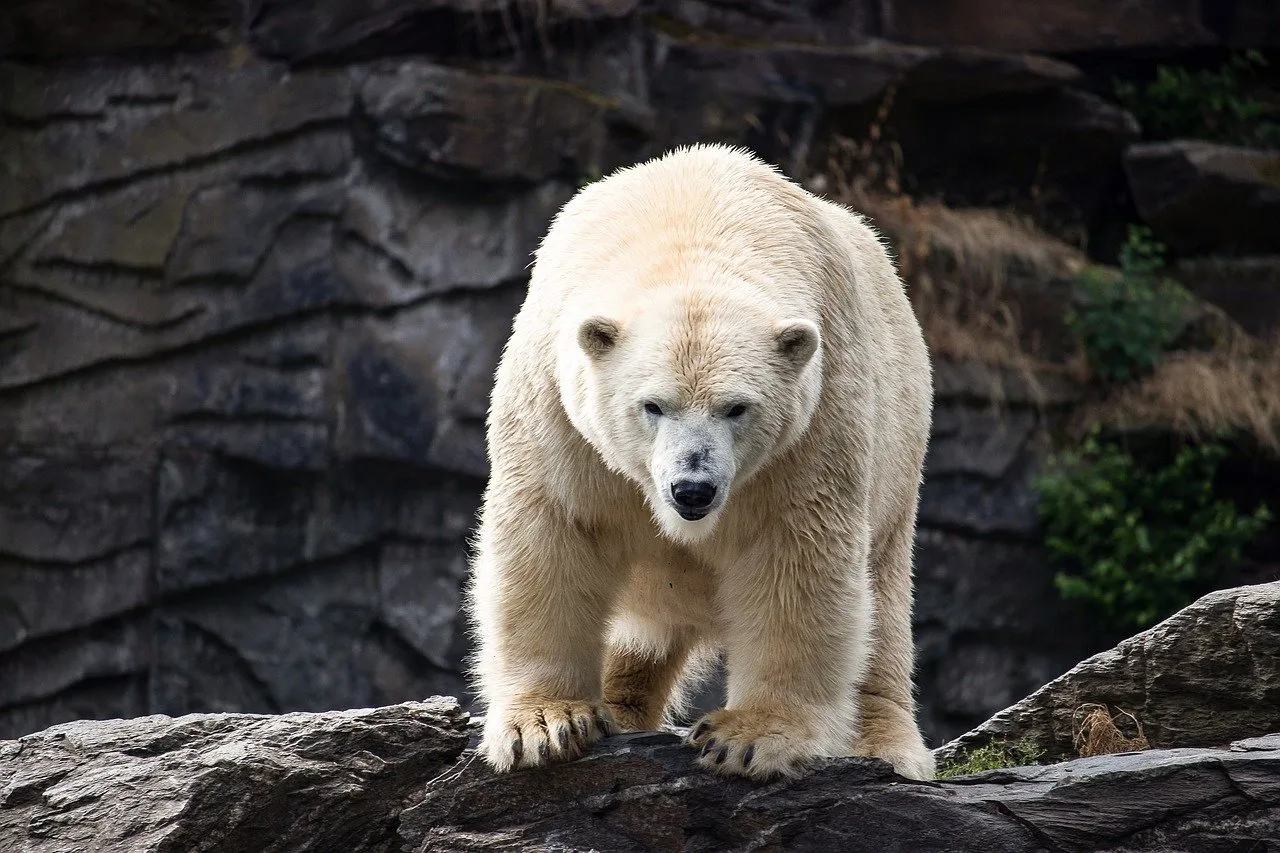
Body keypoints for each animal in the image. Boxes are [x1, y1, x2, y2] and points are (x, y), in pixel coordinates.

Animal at [464, 142, 936, 782]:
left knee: (882, 608)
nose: (692, 488)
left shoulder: (813, 422)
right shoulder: (559, 415)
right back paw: (619, 705)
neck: (692, 217)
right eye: (652, 405)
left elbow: (796, 558)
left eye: (736, 408)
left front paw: (750, 738)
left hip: (898, 463)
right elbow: (551, 535)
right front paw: (545, 725)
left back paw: (886, 746)